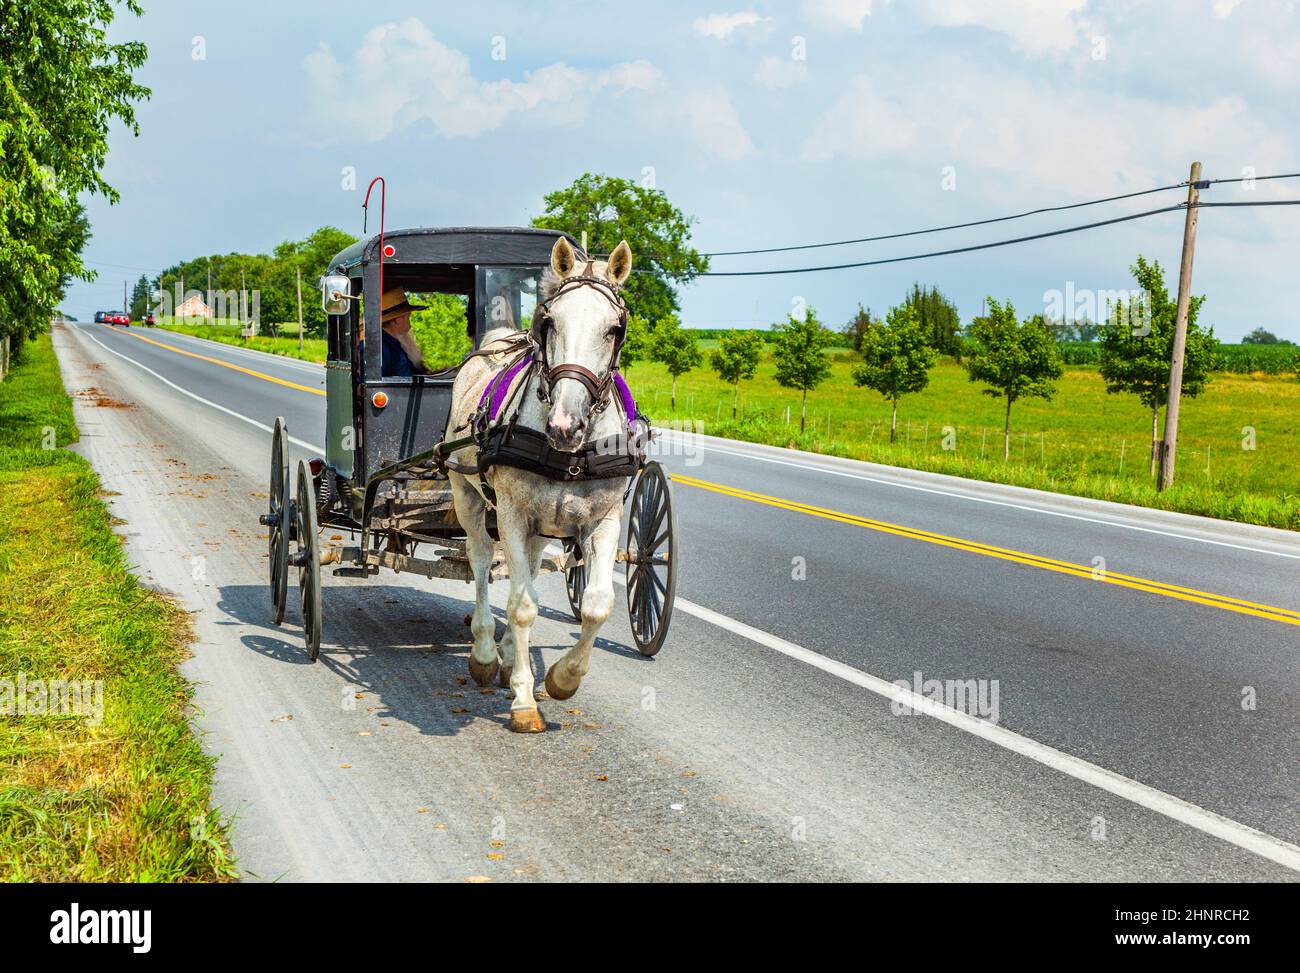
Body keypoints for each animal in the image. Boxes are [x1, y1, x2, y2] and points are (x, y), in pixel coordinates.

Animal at [444, 236, 635, 733]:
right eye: (550, 321)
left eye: (615, 329)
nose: (565, 424)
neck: (570, 453)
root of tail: (496, 339)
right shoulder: (511, 512)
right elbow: (522, 606)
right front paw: (524, 700)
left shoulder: (604, 518)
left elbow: (597, 604)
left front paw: (562, 678)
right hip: (468, 495)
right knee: (480, 561)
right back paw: (486, 653)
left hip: (540, 527)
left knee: (524, 569)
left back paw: (512, 655)